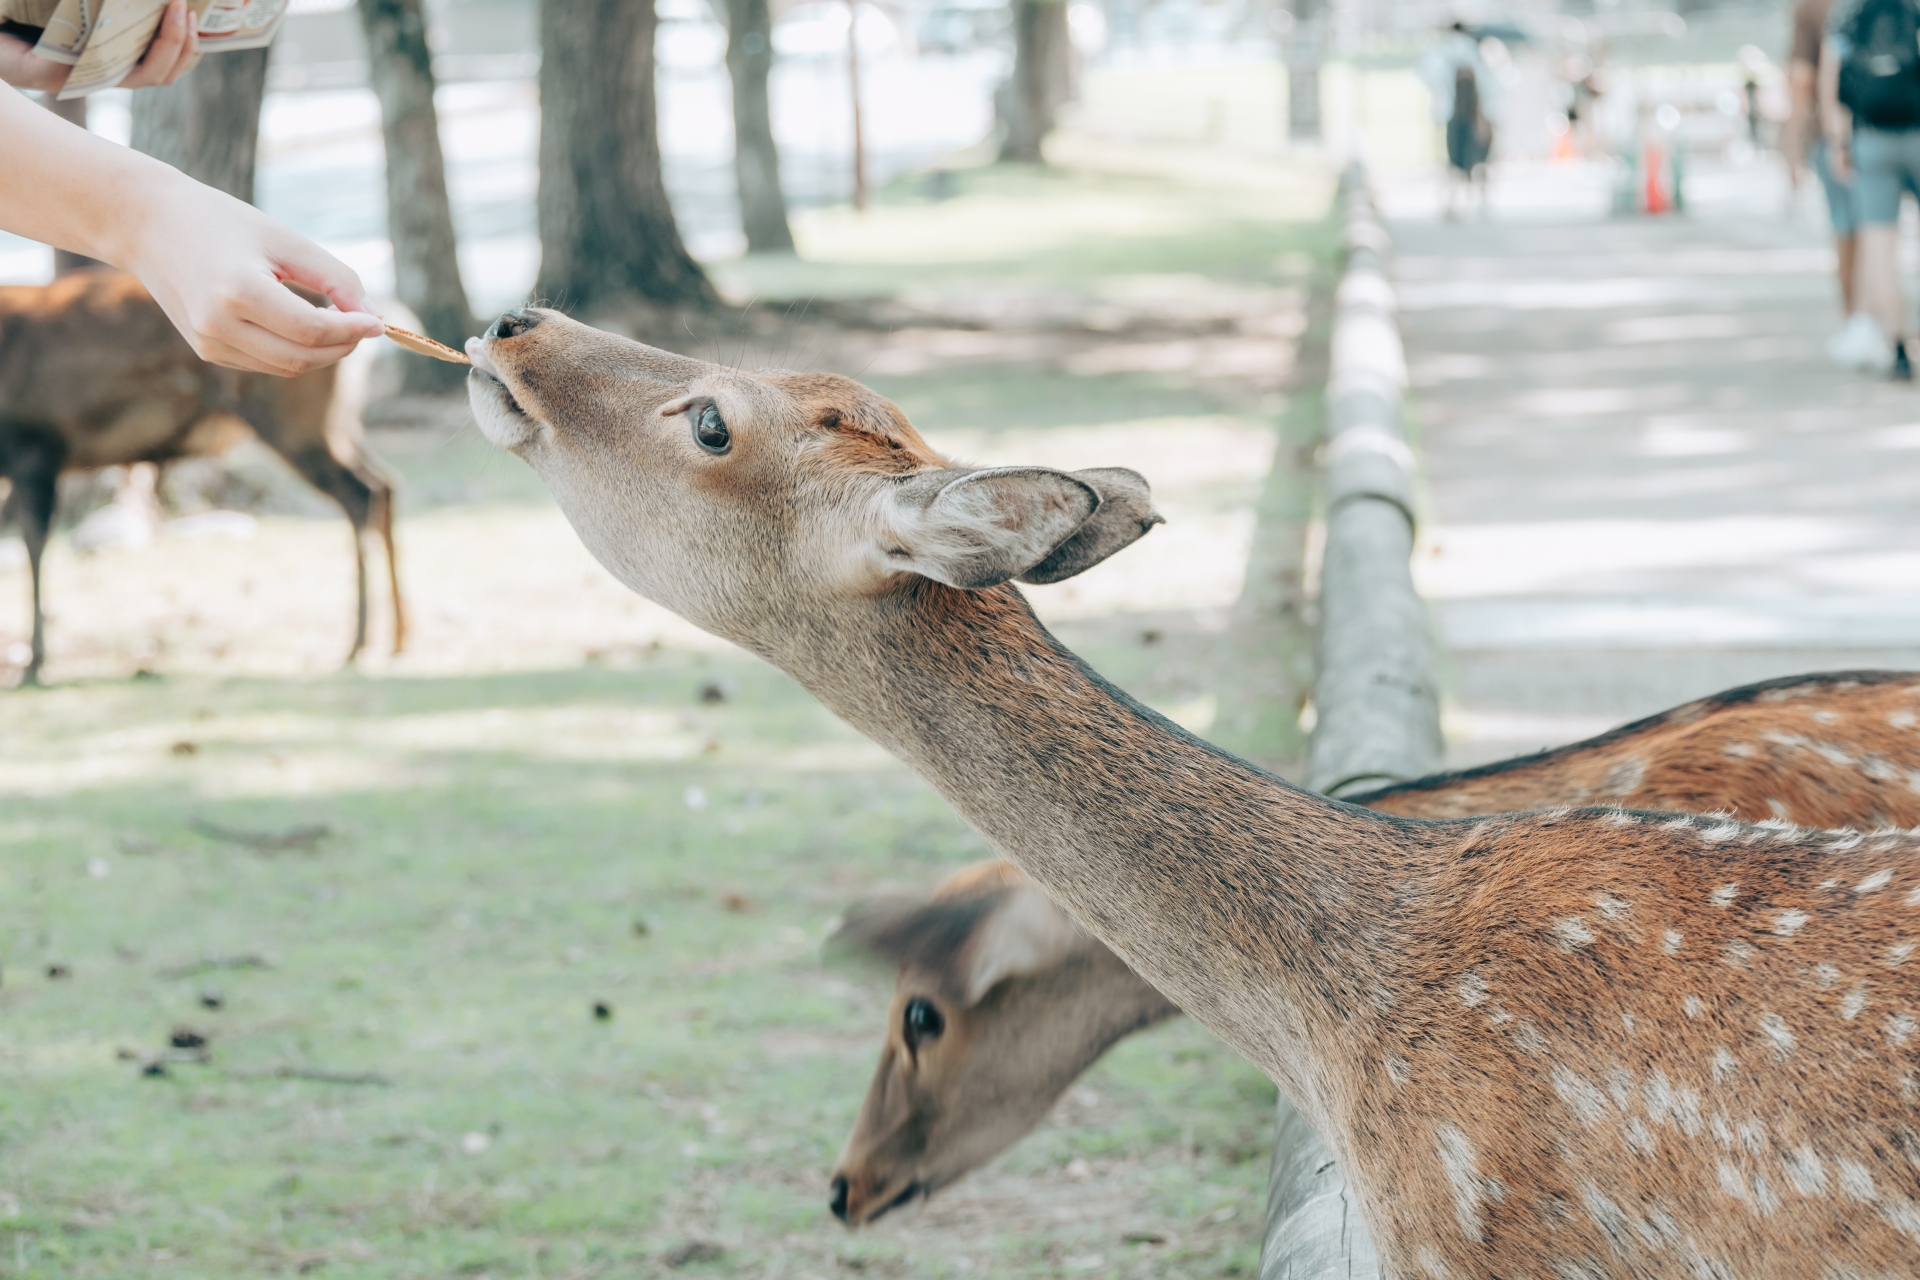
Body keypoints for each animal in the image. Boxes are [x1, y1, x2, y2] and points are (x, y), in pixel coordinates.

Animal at [0, 269, 405, 685]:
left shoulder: (35, 446)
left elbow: (33, 545)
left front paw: (34, 662)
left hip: (294, 417)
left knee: (360, 492)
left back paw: (359, 642)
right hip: (336, 421)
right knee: (382, 483)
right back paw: (396, 638)